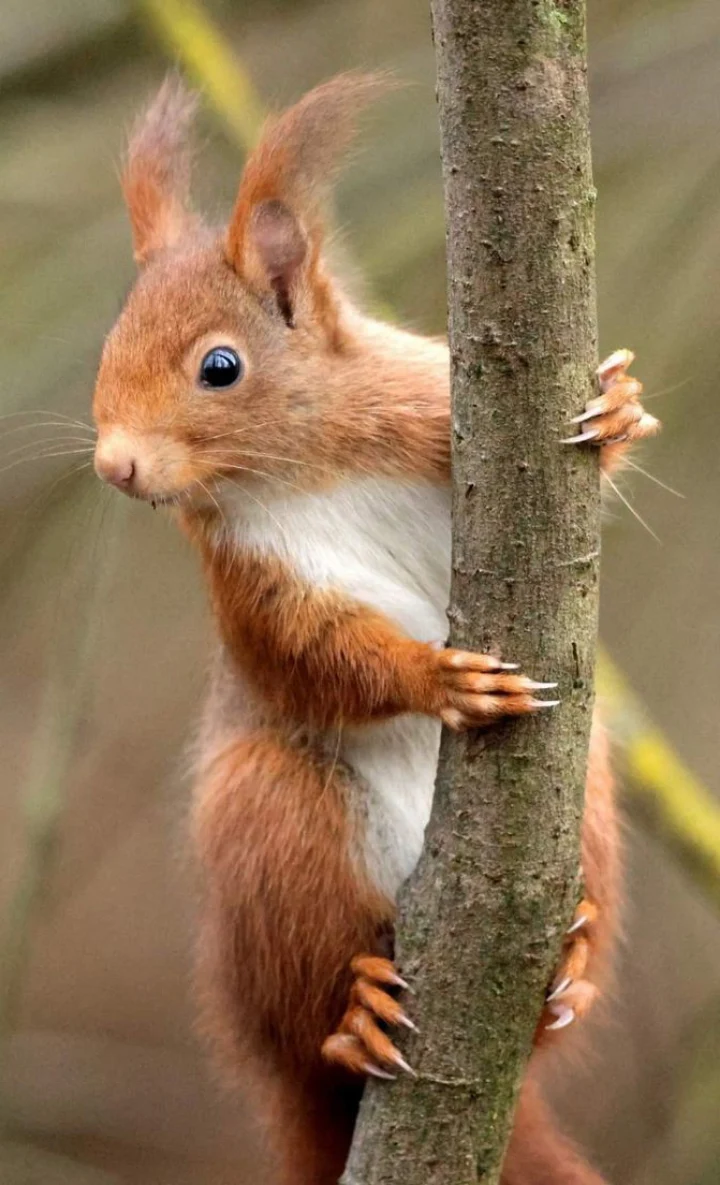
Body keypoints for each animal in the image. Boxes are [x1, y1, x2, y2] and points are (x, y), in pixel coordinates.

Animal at [91, 74, 660, 1185]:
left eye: (219, 366)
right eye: (107, 347)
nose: (115, 466)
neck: (302, 462)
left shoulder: (433, 408)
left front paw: (616, 410)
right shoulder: (252, 584)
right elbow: (318, 659)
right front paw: (440, 680)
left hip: (590, 803)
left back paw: (568, 966)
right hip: (272, 825)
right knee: (310, 1014)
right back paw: (351, 1019)